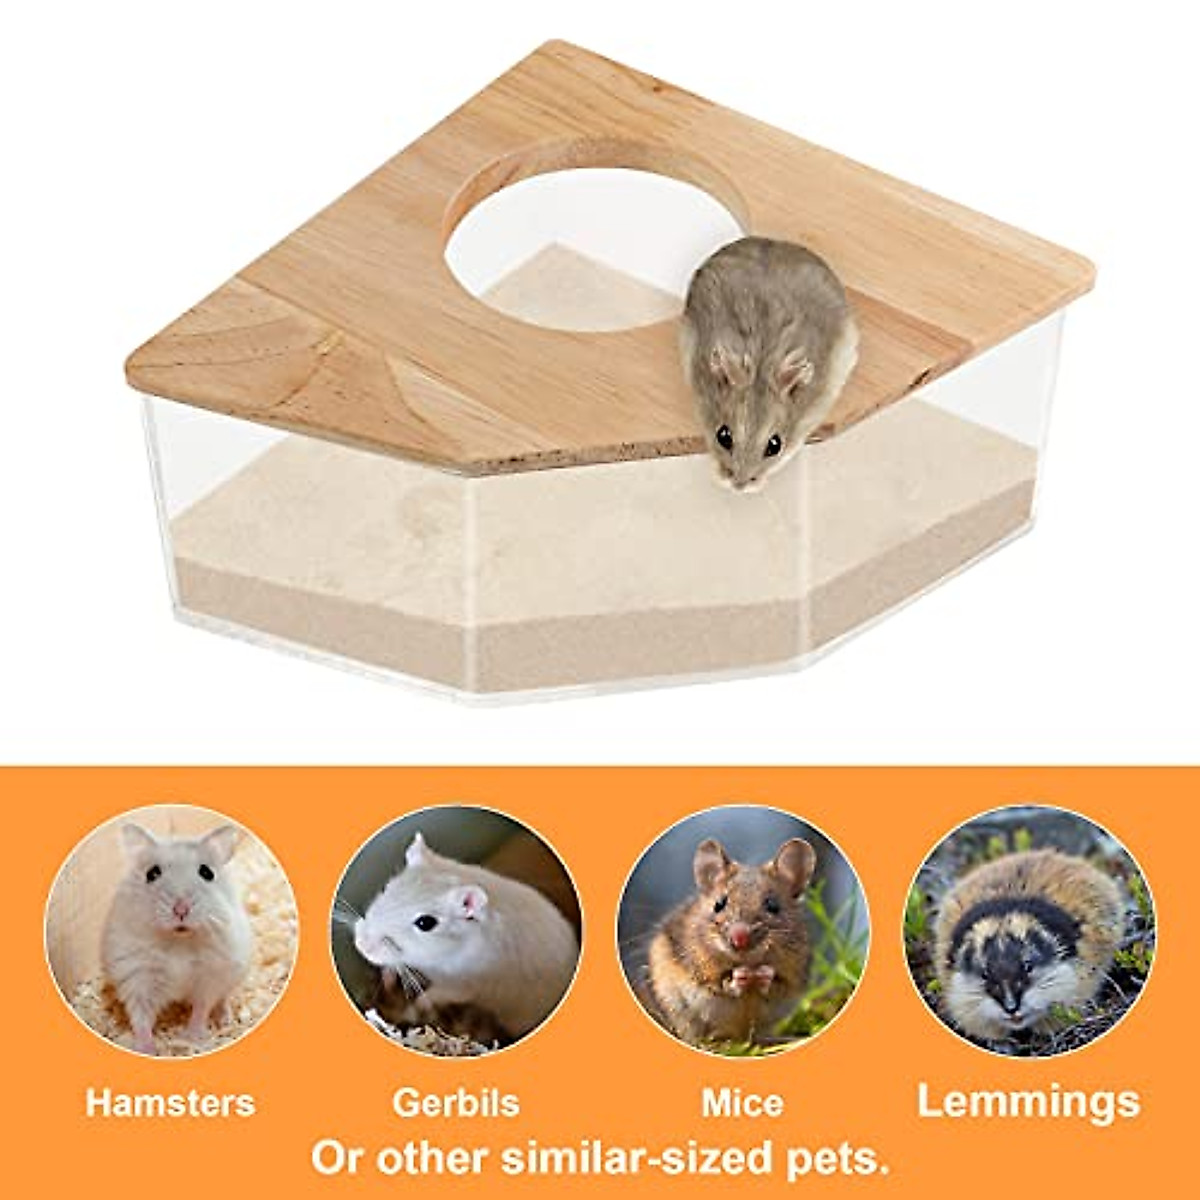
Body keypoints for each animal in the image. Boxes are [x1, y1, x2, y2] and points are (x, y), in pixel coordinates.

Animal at [101, 823, 252, 1055]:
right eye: (152, 873)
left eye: (207, 873)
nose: (181, 910)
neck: (179, 941)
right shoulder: (137, 977)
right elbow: (141, 1018)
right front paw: (146, 1049)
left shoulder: (210, 975)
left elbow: (201, 1008)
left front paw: (191, 1039)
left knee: (223, 998)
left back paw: (224, 1020)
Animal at [353, 833, 578, 1042]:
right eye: (386, 888)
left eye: (425, 923)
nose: (361, 945)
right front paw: (388, 980)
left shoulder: (463, 985)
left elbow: (435, 995)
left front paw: (414, 1008)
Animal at [647, 837, 816, 1045]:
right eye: (719, 904)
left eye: (772, 905)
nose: (739, 938)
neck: (749, 962)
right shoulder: (703, 970)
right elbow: (722, 983)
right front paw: (740, 975)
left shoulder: (791, 977)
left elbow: (775, 982)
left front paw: (764, 973)